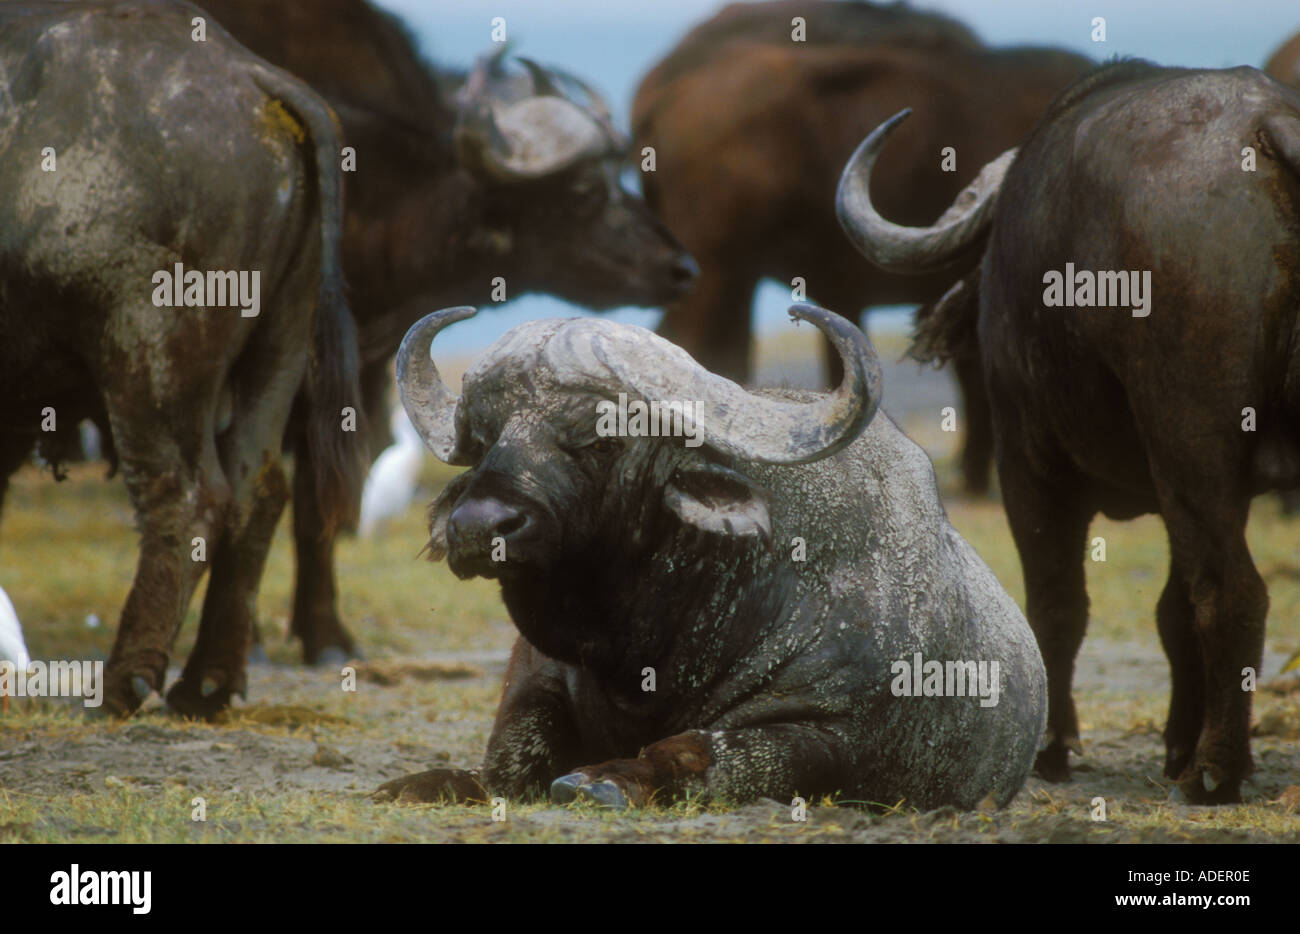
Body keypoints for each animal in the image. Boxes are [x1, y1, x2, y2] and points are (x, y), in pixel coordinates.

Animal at [0, 0, 362, 716]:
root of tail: (249, 77)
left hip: (149, 360)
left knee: (188, 497)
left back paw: (127, 681)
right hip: (279, 345)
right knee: (257, 488)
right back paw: (209, 681)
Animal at [195, 0, 698, 665]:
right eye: (586, 190)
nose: (682, 268)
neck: (376, 214)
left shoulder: (348, 379)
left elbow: (316, 502)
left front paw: (326, 635)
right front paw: (247, 639)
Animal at [373, 304, 1044, 809]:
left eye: (602, 437)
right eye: (487, 437)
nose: (478, 526)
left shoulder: (833, 733)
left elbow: (703, 750)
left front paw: (603, 779)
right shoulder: (535, 681)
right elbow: (511, 758)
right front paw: (431, 781)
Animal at [837, 61, 1300, 803]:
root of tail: (1272, 127)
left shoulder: (1030, 468)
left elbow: (1056, 605)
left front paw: (1052, 744)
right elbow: (1170, 613)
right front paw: (1174, 742)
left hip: (1191, 446)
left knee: (1235, 592)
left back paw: (1215, 769)